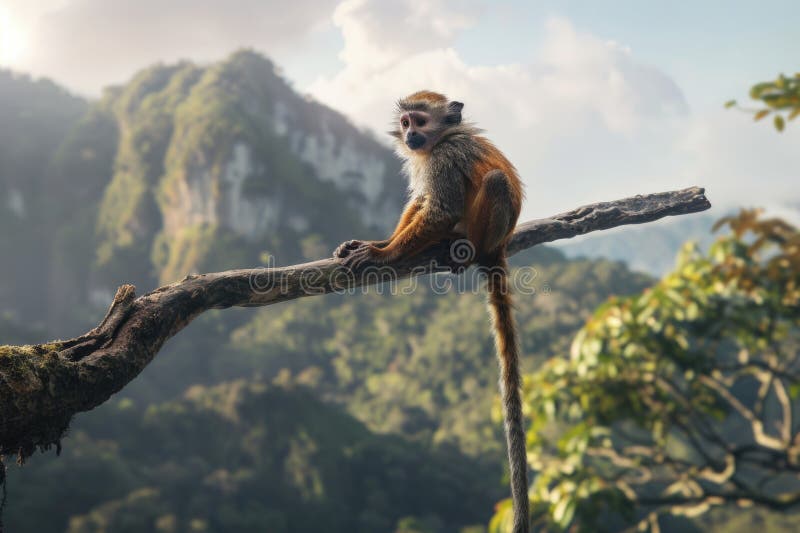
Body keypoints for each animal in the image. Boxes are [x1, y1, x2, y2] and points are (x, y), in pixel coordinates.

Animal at [334, 91, 529, 533]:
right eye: (405, 122)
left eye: (419, 121)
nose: (410, 135)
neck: (439, 141)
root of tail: (501, 242)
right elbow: (421, 201)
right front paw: (380, 243)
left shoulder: (443, 158)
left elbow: (439, 207)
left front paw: (384, 253)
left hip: (487, 230)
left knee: (491, 184)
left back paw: (464, 247)